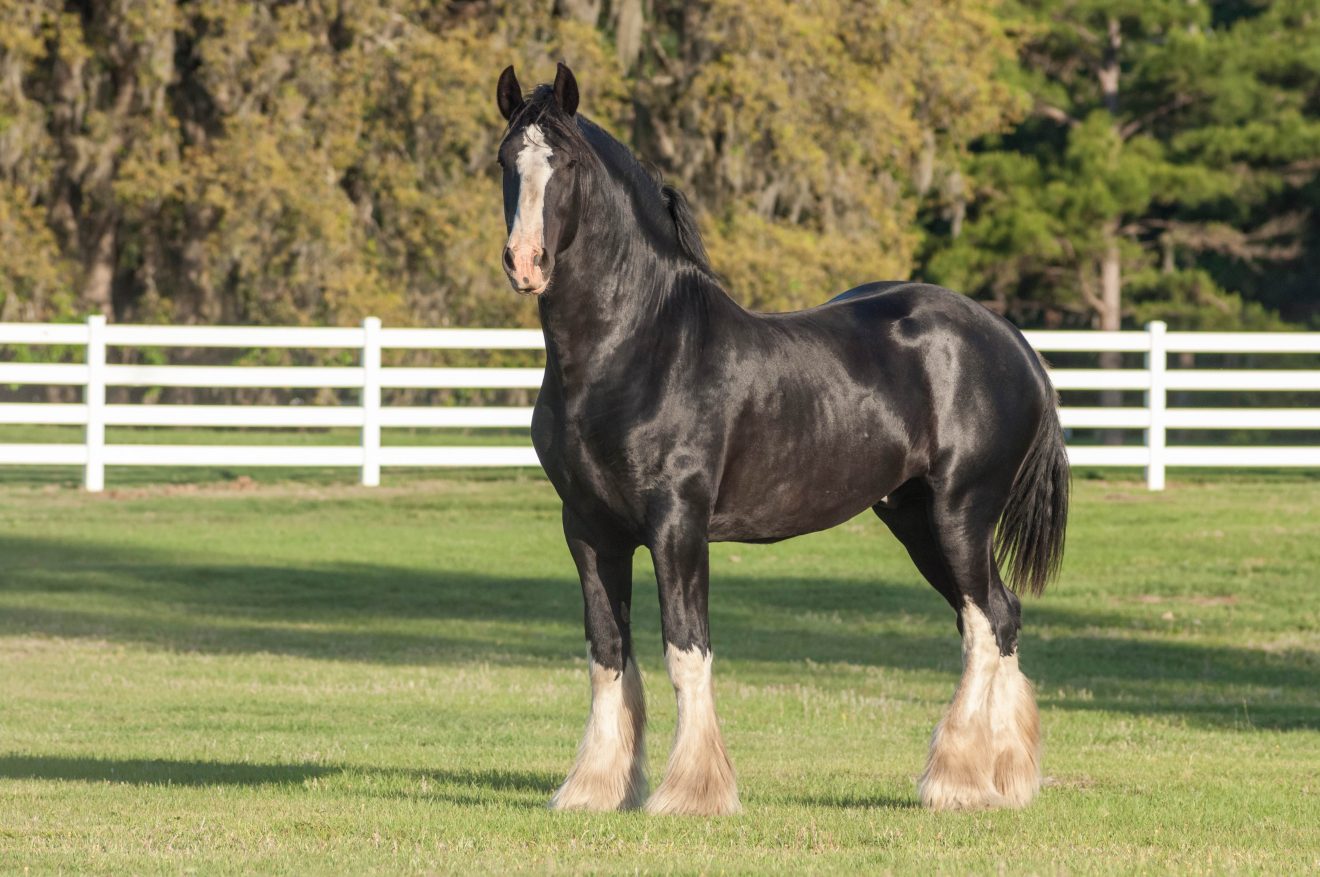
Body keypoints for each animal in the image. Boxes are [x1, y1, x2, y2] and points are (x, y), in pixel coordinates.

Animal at [494, 63, 1069, 816]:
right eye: (505, 161)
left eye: (567, 165)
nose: (524, 261)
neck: (641, 348)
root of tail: (1012, 343)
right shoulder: (589, 529)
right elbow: (607, 652)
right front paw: (595, 787)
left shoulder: (678, 525)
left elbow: (687, 650)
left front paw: (692, 792)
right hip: (915, 518)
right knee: (1001, 616)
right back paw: (1005, 778)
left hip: (960, 514)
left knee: (981, 624)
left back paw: (954, 780)